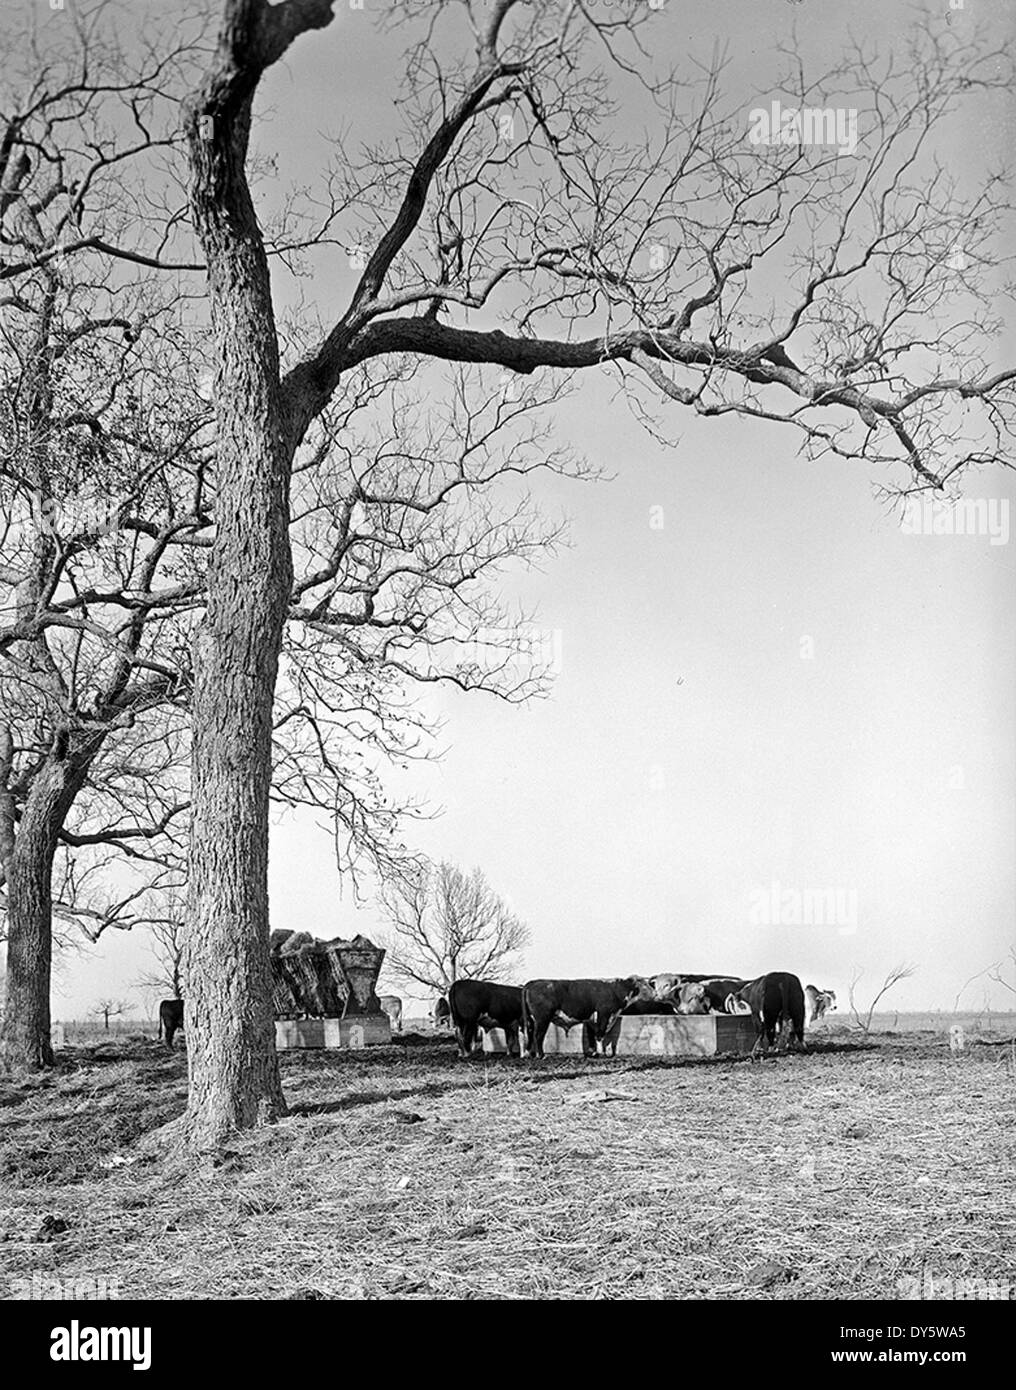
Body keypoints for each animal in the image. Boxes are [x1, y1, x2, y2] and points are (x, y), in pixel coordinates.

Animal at [522, 977, 654, 1059]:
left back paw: (529, 1054)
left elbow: (592, 1036)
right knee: (538, 1035)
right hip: (542, 1018)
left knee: (530, 1033)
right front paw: (602, 1053)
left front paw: (593, 1052)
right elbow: (600, 1034)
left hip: (531, 1020)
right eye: (645, 985)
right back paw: (541, 1055)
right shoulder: (603, 1015)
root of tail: (532, 982)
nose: (655, 993)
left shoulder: (592, 1019)